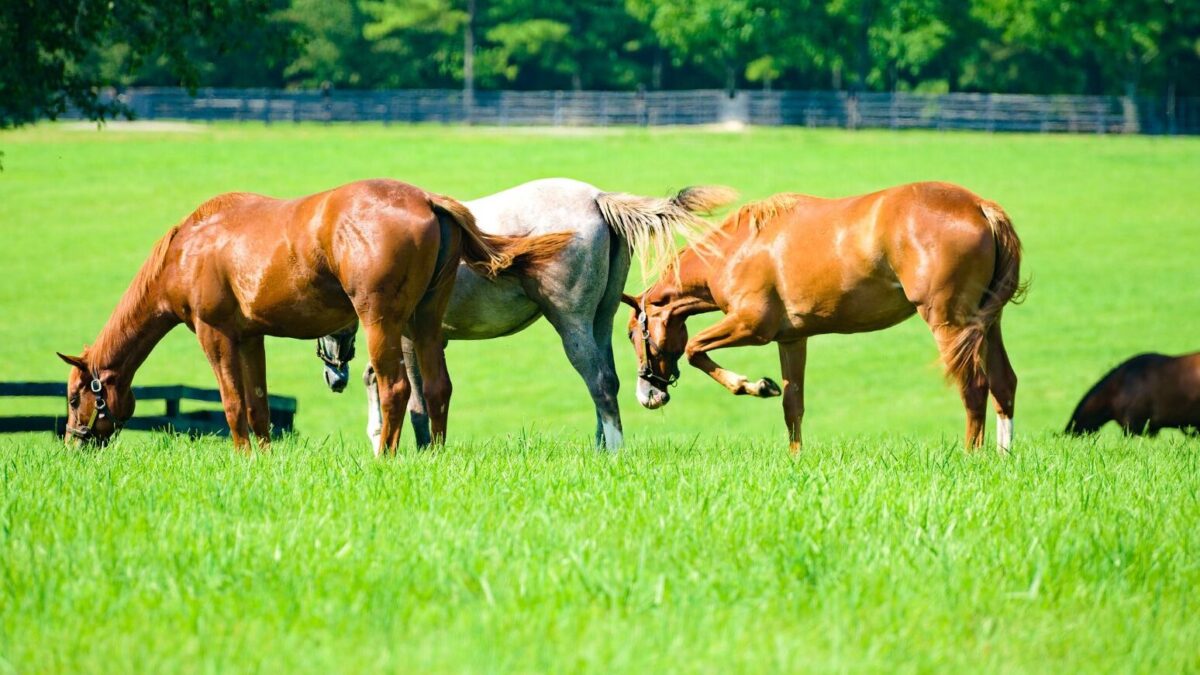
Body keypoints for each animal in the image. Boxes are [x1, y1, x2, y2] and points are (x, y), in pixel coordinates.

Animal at [57, 179, 571, 455]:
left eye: (75, 397)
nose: (73, 441)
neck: (188, 249)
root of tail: (426, 199)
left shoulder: (214, 334)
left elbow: (232, 403)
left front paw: (242, 457)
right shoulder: (250, 337)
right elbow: (258, 404)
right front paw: (262, 459)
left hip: (381, 321)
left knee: (396, 388)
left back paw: (385, 458)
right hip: (423, 322)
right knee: (437, 388)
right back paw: (435, 456)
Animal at [314, 178, 737, 450]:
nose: (333, 376)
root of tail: (597, 198)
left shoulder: (407, 340)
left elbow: (414, 400)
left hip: (572, 325)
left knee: (599, 381)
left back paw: (614, 452)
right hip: (599, 322)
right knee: (608, 381)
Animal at [622, 181, 1025, 453]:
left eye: (631, 334)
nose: (648, 395)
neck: (735, 250)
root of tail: (980, 207)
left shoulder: (751, 326)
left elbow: (695, 350)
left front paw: (751, 385)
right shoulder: (791, 339)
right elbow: (792, 404)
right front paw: (794, 456)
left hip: (950, 324)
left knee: (975, 386)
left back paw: (971, 455)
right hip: (987, 326)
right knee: (1004, 384)